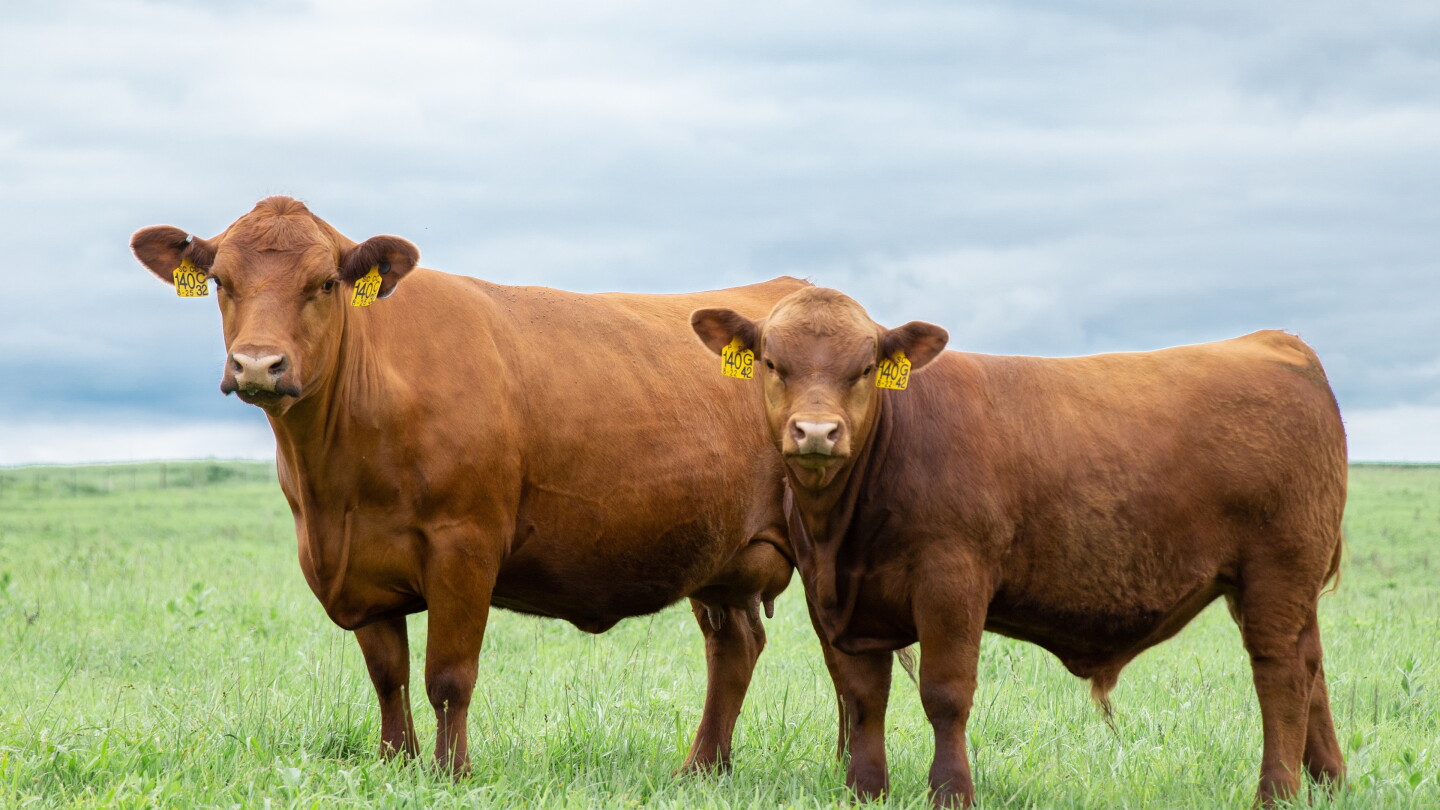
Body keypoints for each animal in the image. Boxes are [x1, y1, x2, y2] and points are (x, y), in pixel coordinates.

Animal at [130, 196, 820, 776]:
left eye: (324, 283)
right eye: (221, 282)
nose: (257, 365)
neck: (334, 485)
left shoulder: (465, 546)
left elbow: (448, 676)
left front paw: (450, 773)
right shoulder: (364, 570)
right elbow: (388, 677)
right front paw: (396, 763)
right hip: (723, 556)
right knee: (734, 646)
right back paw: (702, 769)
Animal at [691, 286, 1347, 807]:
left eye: (866, 367)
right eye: (772, 362)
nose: (817, 432)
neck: (842, 535)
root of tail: (1274, 342)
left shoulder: (952, 581)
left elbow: (945, 694)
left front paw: (952, 793)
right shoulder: (835, 600)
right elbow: (862, 699)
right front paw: (865, 792)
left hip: (1279, 570)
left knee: (1280, 673)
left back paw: (1277, 793)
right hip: (1278, 586)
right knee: (1311, 666)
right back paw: (1328, 782)